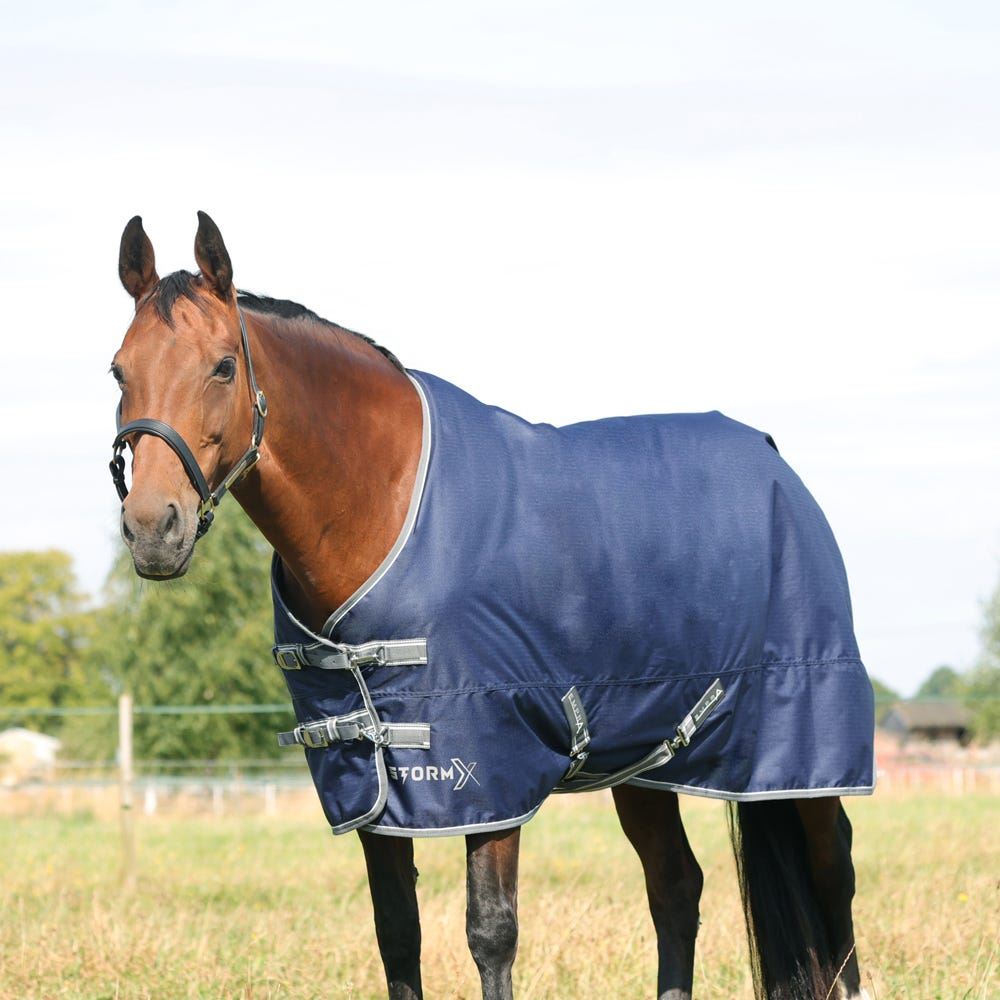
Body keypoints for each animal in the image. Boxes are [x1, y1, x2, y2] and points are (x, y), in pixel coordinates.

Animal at [109, 211, 873, 1000]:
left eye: (224, 366)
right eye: (119, 370)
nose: (152, 529)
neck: (386, 505)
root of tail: (779, 465)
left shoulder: (490, 766)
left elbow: (490, 931)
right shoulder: (373, 783)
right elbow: (397, 934)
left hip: (803, 742)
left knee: (833, 869)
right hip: (644, 758)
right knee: (675, 885)